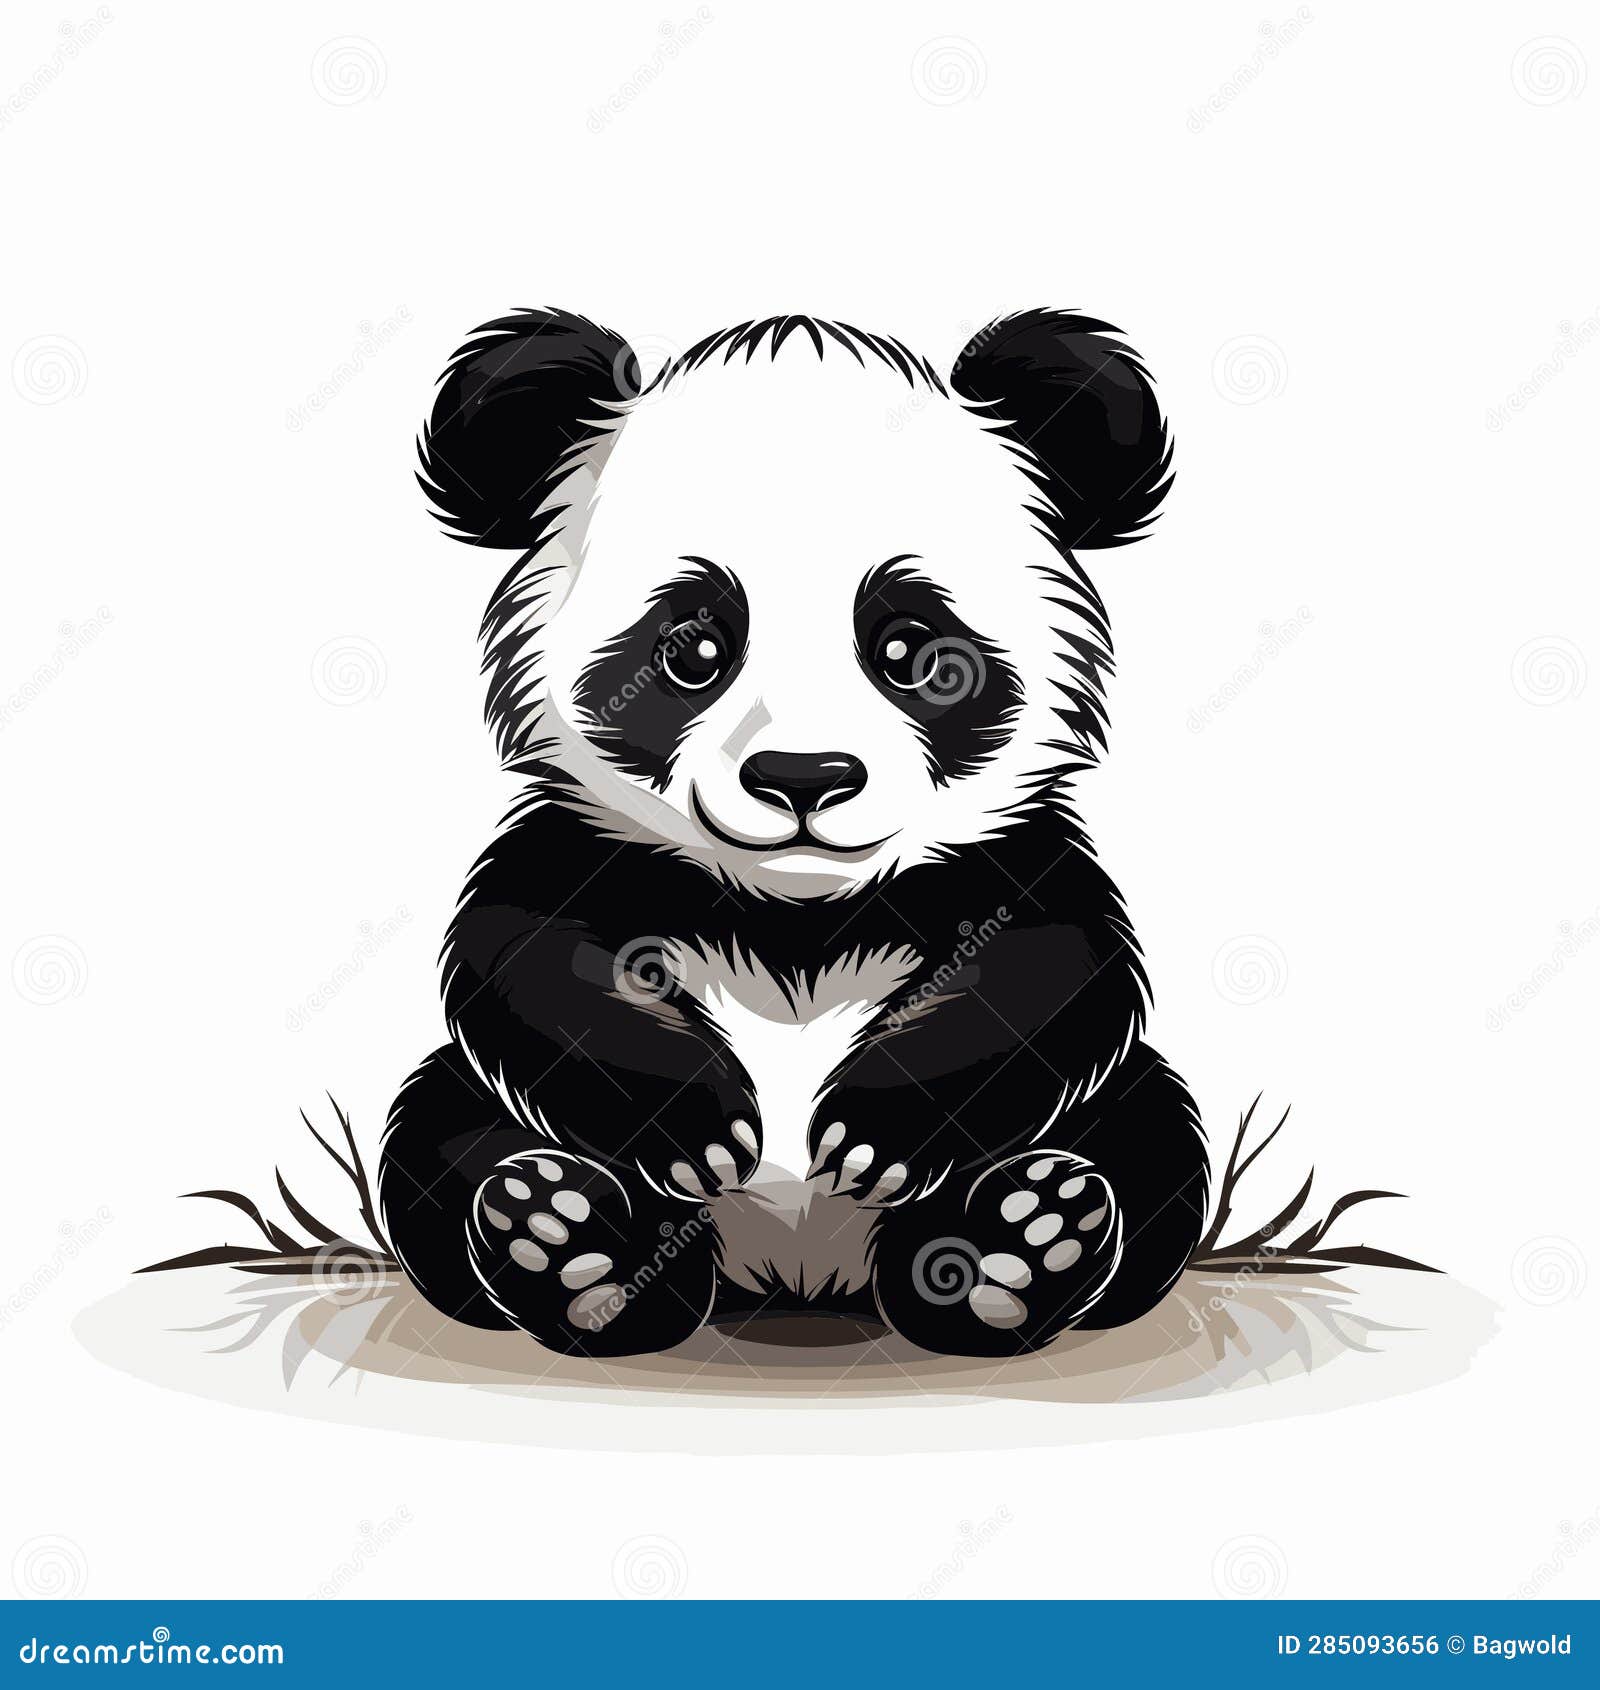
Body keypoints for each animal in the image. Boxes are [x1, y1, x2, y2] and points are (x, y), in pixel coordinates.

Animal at [377, 308, 1210, 1358]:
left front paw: (875, 1134)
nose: (803, 778)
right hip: (476, 1119)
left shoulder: (1007, 857)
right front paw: (697, 1129)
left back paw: (1006, 1251)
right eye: (693, 648)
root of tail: (796, 1275)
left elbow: (1047, 972)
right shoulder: (584, 847)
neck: (795, 912)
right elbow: (532, 964)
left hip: (1115, 1124)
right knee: (443, 1143)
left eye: (912, 652)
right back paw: (579, 1251)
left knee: (1148, 1148)